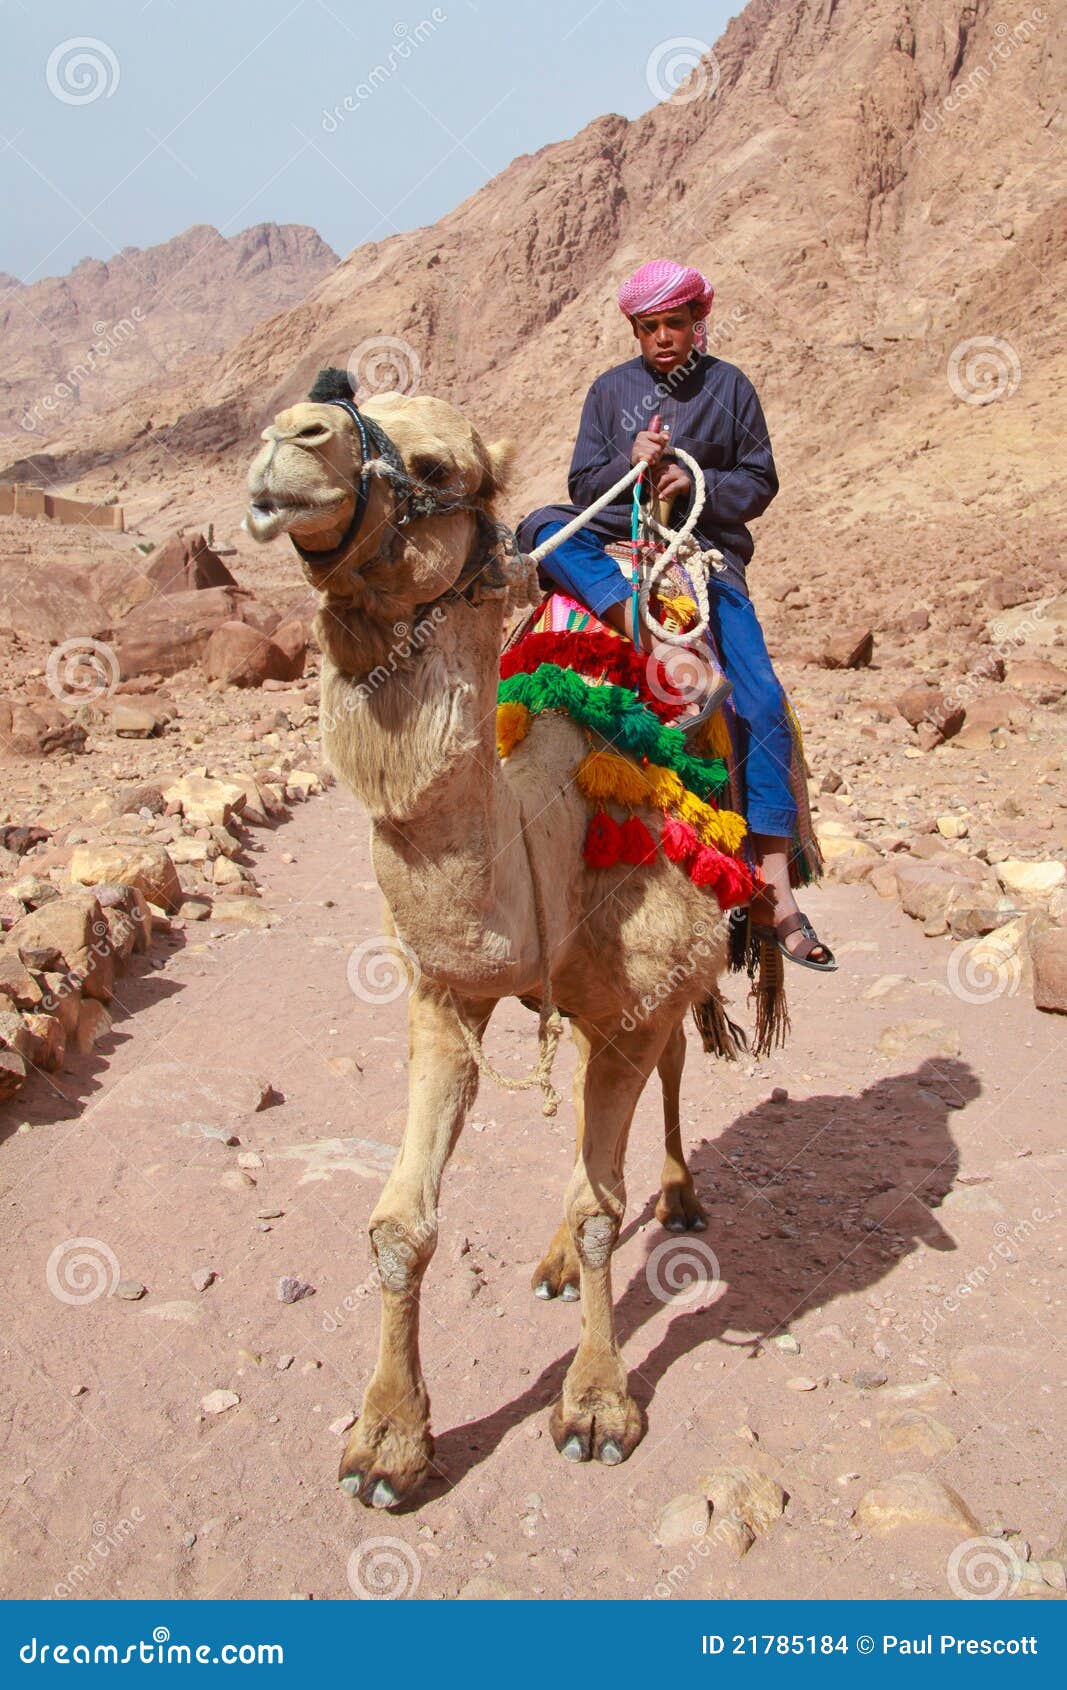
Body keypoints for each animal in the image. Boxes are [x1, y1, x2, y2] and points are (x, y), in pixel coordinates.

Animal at [244, 370, 745, 1508]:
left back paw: (678, 1196)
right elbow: (400, 1224)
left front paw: (595, 1405)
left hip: (680, 970)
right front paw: (387, 1439)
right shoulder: (448, 991)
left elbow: (607, 1207)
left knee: (670, 1077)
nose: (288, 439)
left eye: (435, 466)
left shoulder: (637, 999)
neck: (543, 826)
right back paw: (555, 1255)